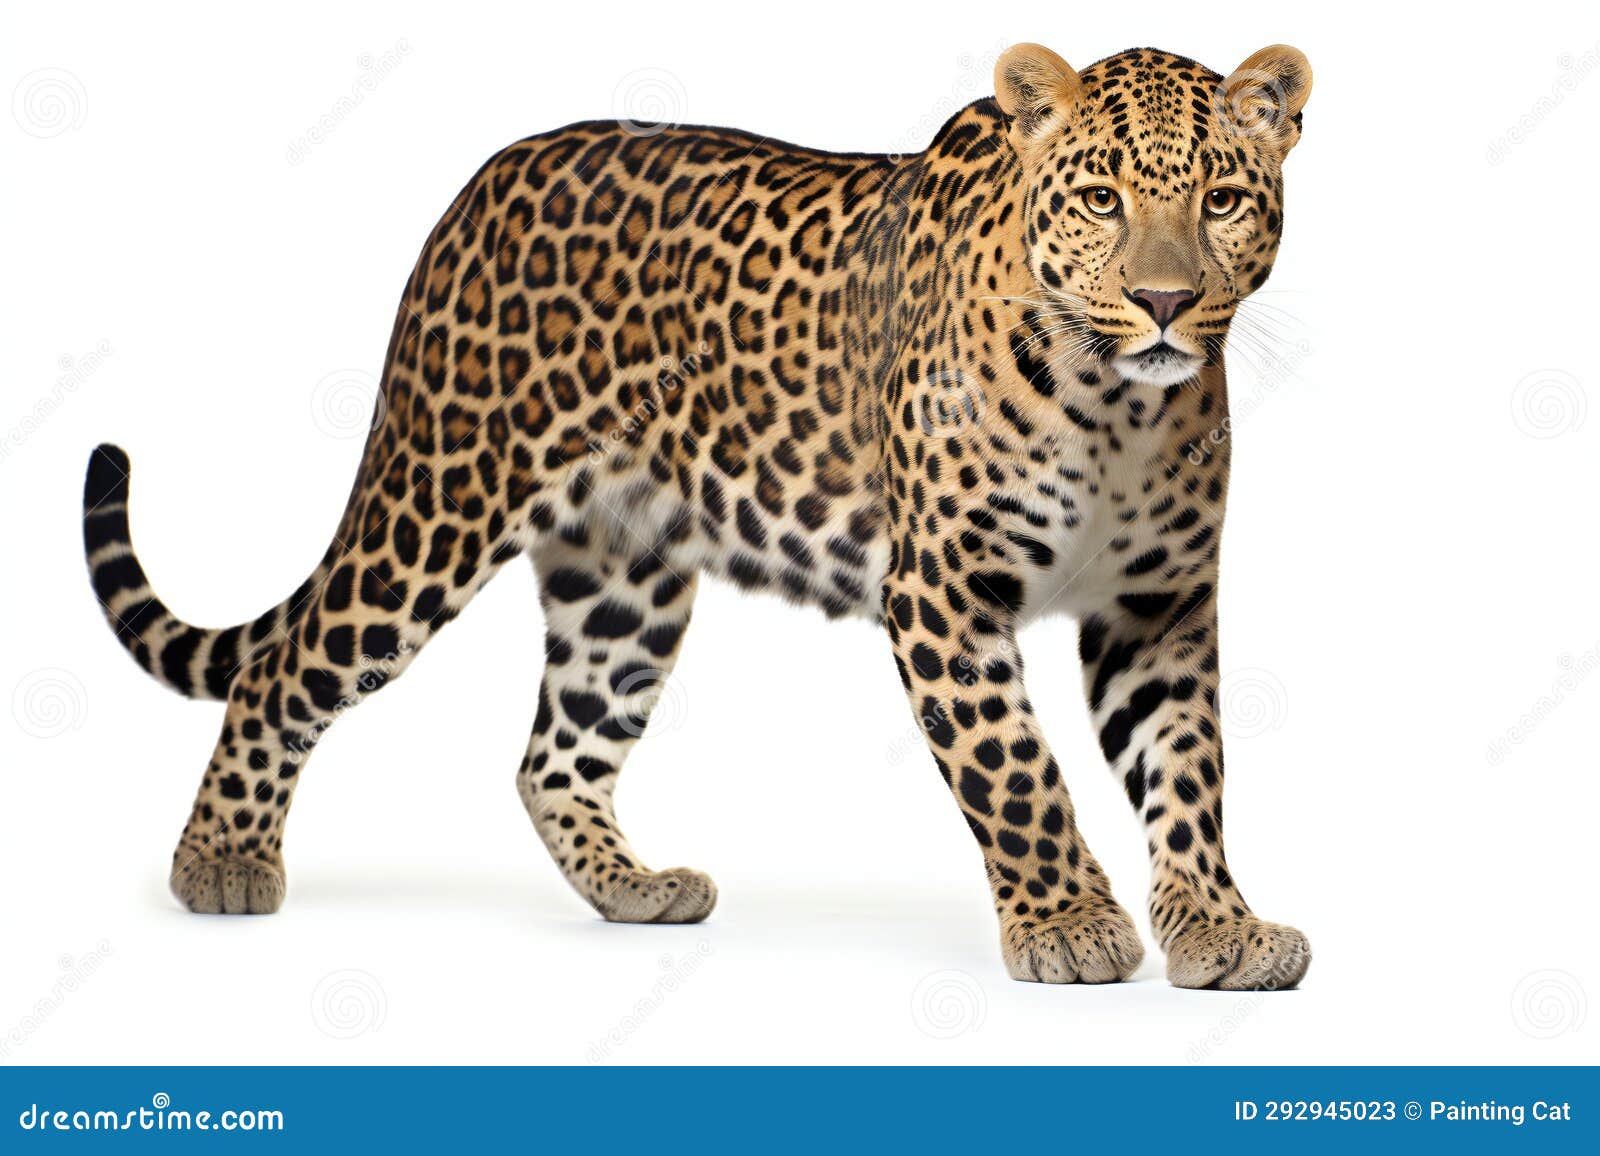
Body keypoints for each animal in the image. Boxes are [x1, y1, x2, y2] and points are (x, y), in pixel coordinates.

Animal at [82, 42, 1314, 989]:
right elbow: (1015, 771)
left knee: (554, 754)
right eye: (1102, 197)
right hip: (436, 500)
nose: (1164, 302)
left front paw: (1218, 927)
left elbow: (1188, 770)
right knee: (278, 671)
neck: (1118, 407)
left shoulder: (1154, 607)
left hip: (621, 576)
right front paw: (1070, 925)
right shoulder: (945, 595)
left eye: (1220, 199)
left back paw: (635, 889)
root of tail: (477, 184)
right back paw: (220, 864)